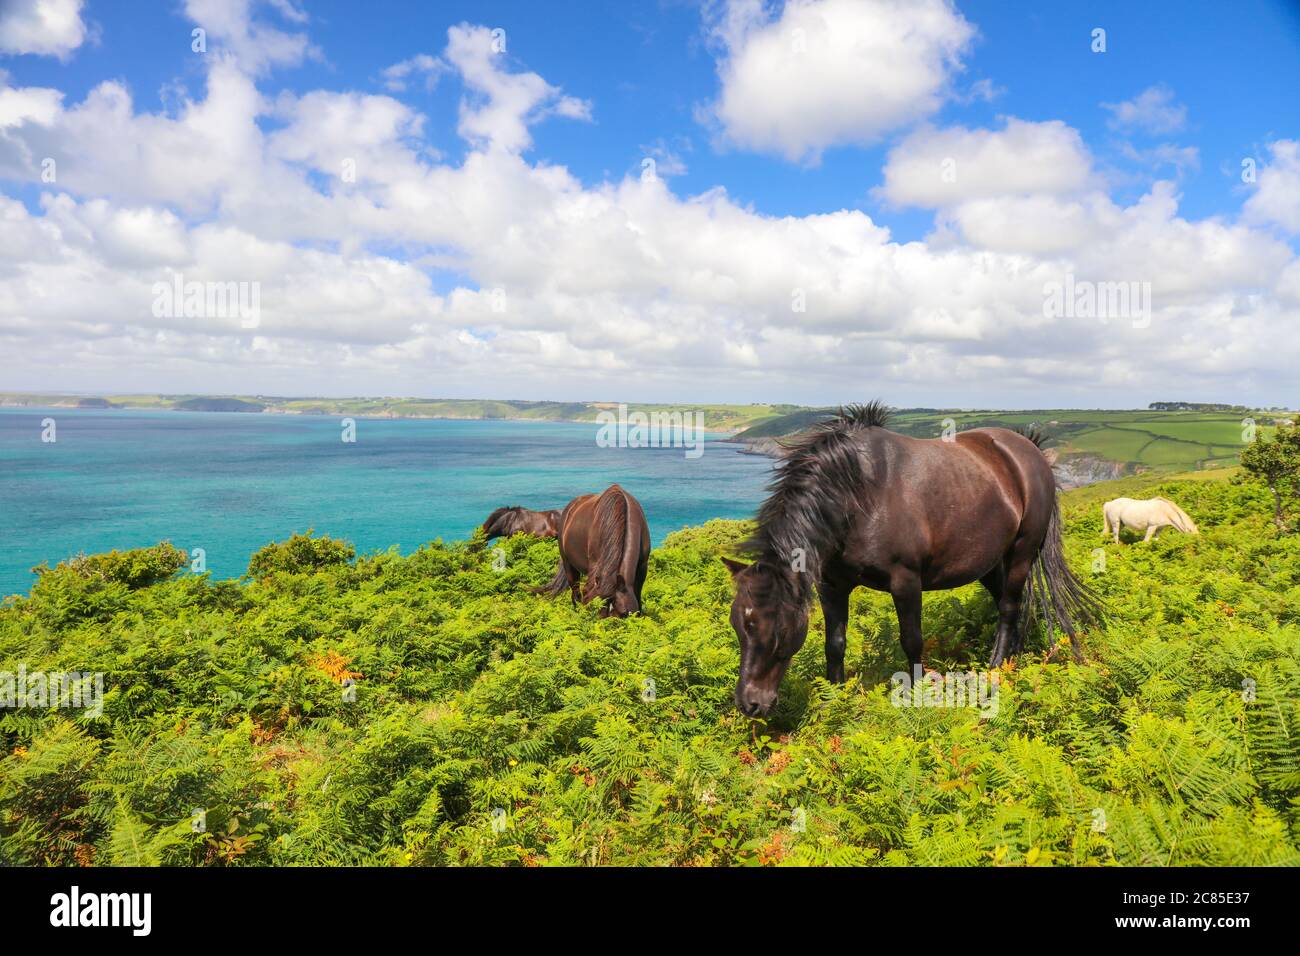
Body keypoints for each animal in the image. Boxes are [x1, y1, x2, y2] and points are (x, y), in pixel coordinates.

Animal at [722, 403, 1103, 718]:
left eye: (777, 627)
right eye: (739, 625)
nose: (749, 704)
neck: (857, 495)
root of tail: (1030, 449)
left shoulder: (905, 581)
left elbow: (912, 640)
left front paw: (916, 694)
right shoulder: (832, 586)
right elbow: (835, 645)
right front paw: (836, 698)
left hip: (1022, 551)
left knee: (1009, 607)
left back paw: (996, 666)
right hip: (990, 562)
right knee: (1010, 605)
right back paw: (1011, 658)